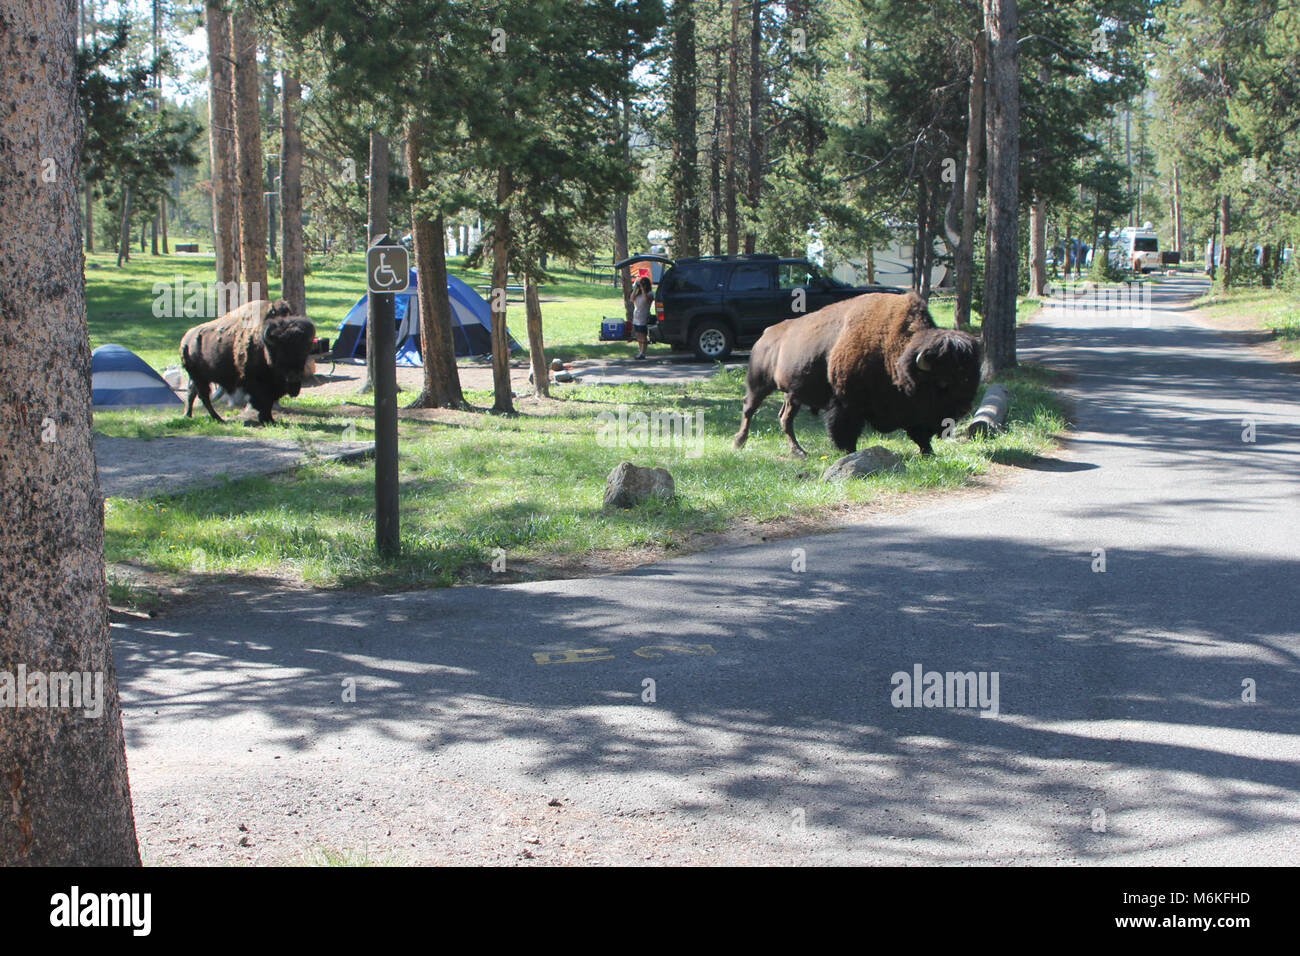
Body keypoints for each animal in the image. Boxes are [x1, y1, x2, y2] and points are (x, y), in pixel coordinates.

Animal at [180, 299, 315, 425]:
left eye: (304, 353)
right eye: (280, 355)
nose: (293, 380)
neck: (265, 346)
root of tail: (186, 339)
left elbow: (269, 401)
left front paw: (269, 419)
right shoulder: (257, 383)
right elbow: (264, 401)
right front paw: (266, 419)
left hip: (198, 377)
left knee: (192, 392)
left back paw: (189, 415)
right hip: (200, 377)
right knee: (203, 396)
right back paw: (217, 418)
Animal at [732, 290, 982, 457]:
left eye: (971, 380)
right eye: (943, 383)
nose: (963, 409)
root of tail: (766, 334)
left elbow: (918, 433)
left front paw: (928, 452)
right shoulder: (845, 404)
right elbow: (844, 431)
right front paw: (849, 453)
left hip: (792, 395)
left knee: (785, 418)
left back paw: (799, 451)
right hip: (759, 384)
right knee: (749, 409)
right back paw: (739, 442)